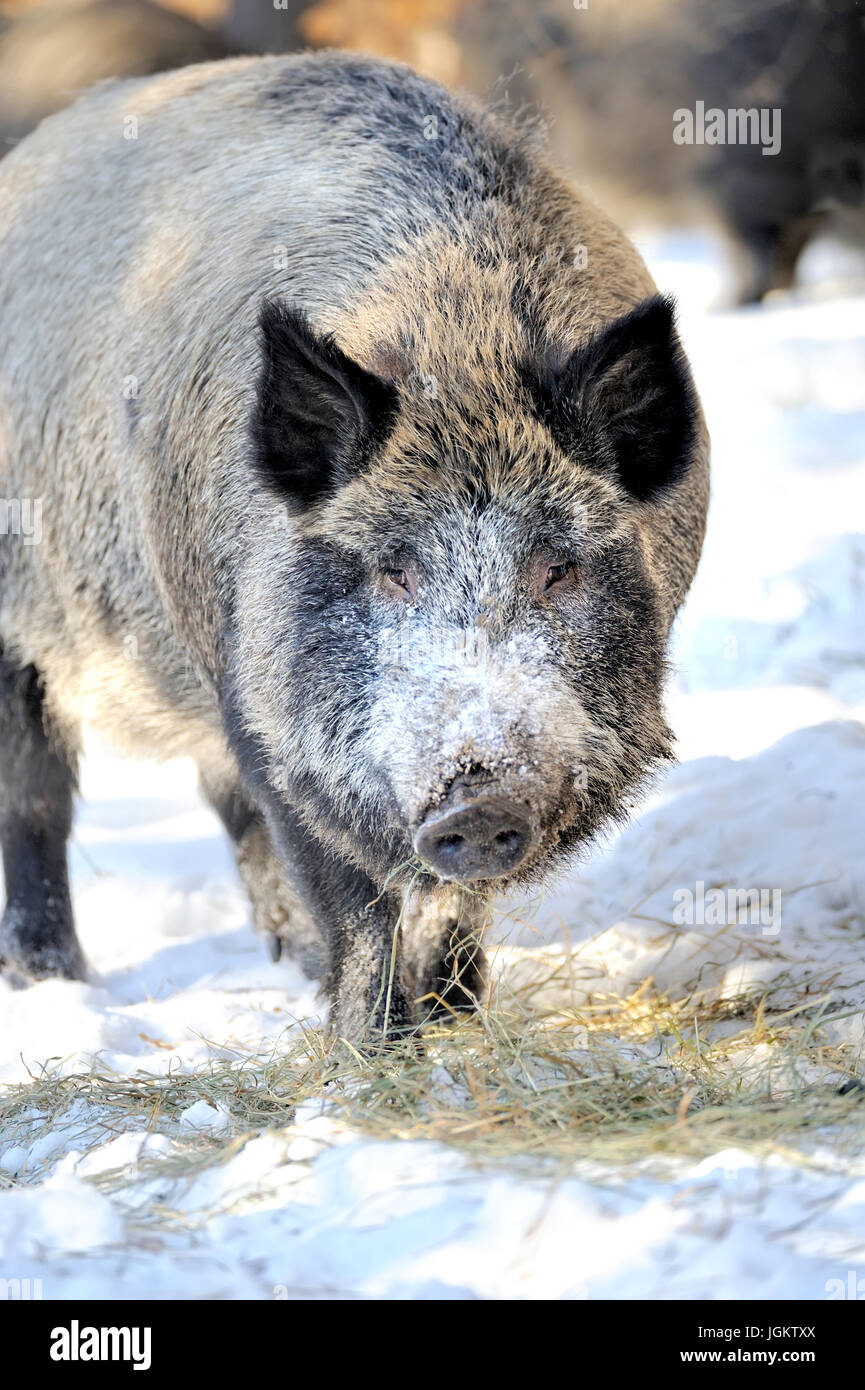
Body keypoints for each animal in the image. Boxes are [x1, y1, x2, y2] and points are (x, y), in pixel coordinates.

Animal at [0, 52, 709, 1044]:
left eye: (559, 567)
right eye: (393, 568)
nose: (476, 793)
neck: (459, 343)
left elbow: (449, 900)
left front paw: (449, 1027)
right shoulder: (268, 712)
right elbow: (354, 897)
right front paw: (368, 1051)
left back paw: (290, 965)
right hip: (30, 616)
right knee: (34, 797)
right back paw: (52, 986)